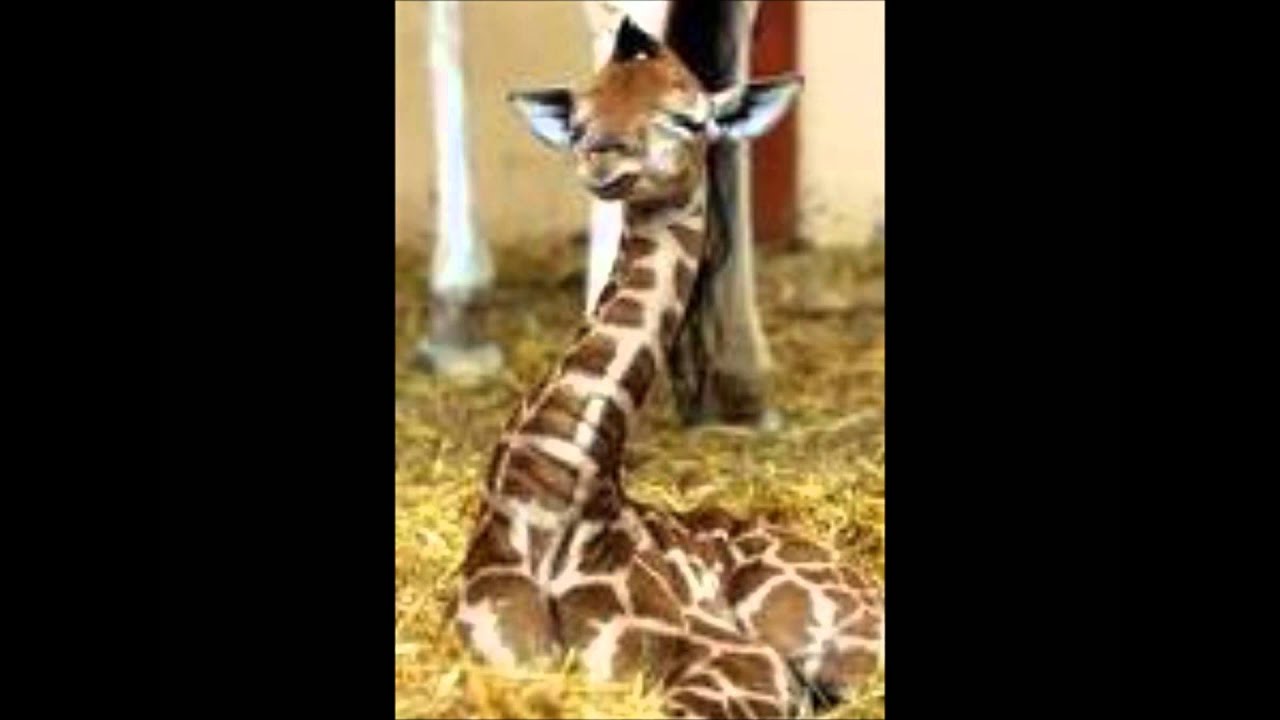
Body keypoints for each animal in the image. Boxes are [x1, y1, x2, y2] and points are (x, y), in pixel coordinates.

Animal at [452, 19, 883, 719]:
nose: (603, 157)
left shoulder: (743, 662)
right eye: (579, 119)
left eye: (690, 119)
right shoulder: (496, 648)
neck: (546, 504)